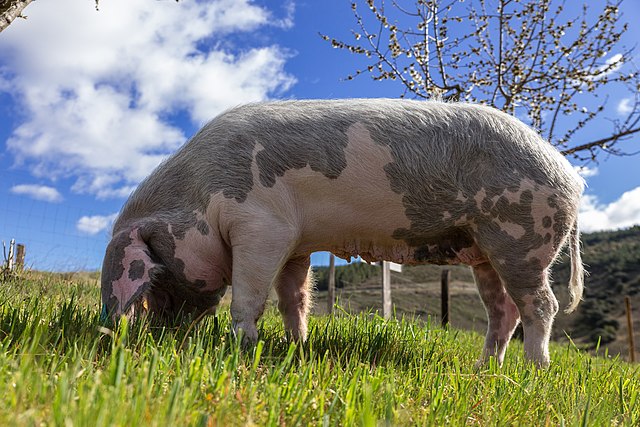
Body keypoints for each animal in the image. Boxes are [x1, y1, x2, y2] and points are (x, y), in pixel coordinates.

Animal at [101, 98, 584, 368]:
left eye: (158, 277)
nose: (163, 335)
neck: (199, 193)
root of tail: (571, 177)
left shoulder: (262, 226)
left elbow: (249, 297)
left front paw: (241, 348)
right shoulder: (295, 243)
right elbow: (294, 297)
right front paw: (297, 346)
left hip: (521, 234)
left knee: (542, 304)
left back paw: (534, 371)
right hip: (482, 248)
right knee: (503, 310)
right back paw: (486, 369)